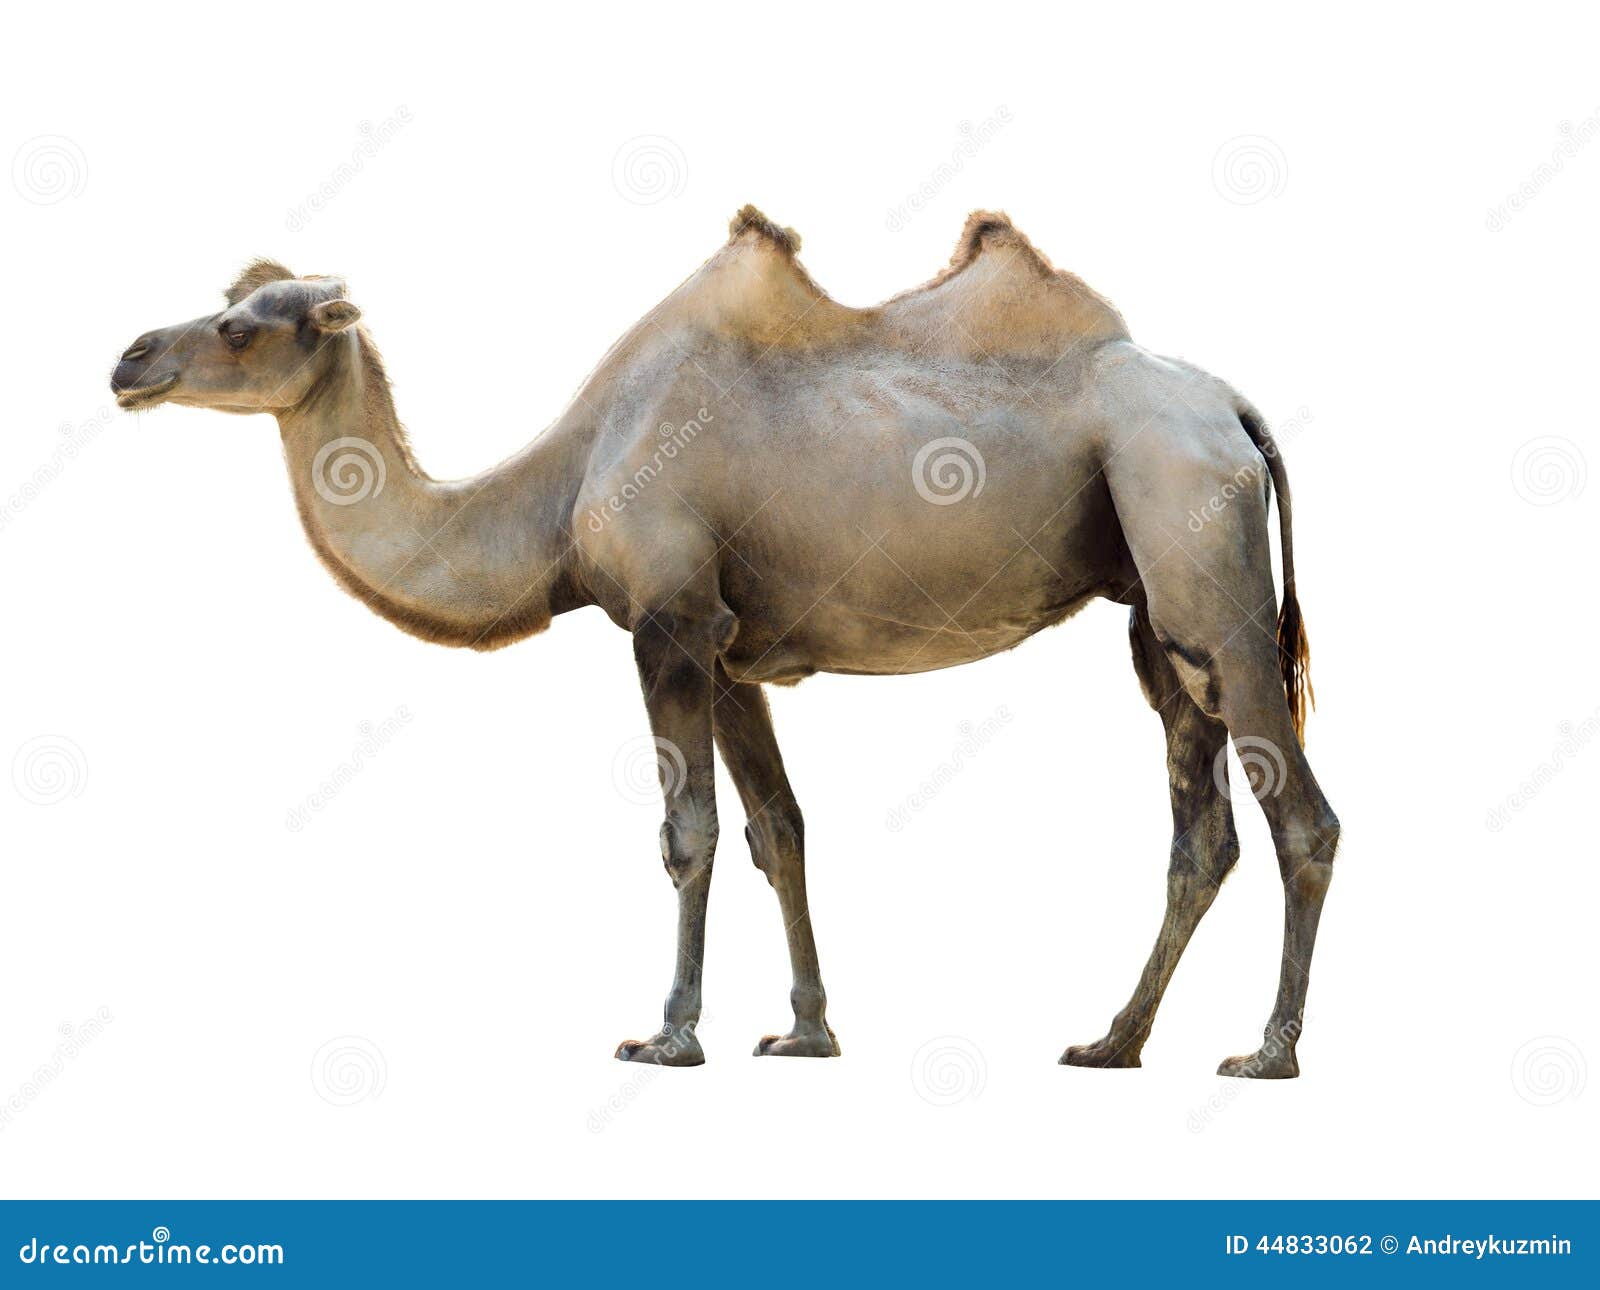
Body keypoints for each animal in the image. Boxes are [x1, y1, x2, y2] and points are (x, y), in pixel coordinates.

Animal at [111, 206, 1339, 1076]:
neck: (561, 493)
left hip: (1200, 553)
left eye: (237, 328)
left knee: (1303, 817)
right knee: (1199, 828)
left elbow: (687, 833)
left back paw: (1265, 1053)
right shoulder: (731, 652)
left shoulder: (667, 622)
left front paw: (668, 1035)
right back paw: (1111, 1041)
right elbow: (777, 831)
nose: (129, 358)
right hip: (1155, 603)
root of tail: (1234, 411)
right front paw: (805, 1032)